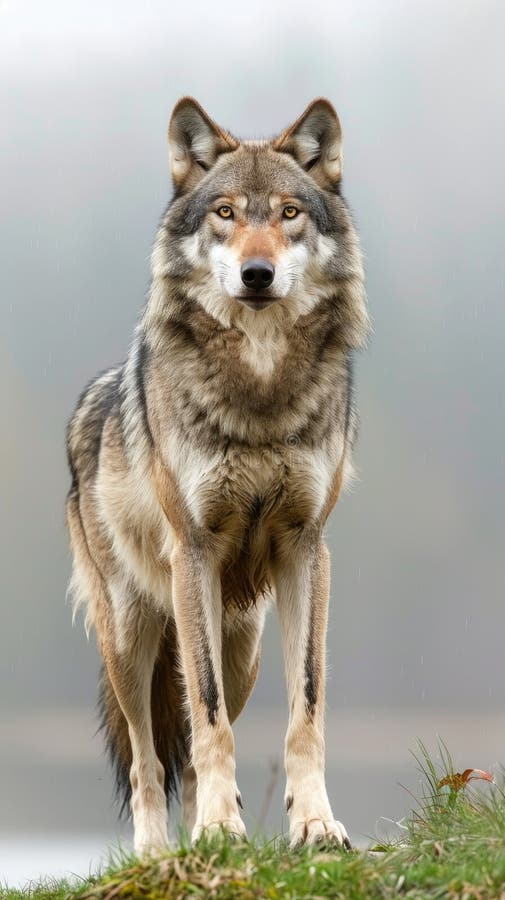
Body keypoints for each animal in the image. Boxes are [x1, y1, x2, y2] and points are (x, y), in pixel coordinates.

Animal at [66, 96, 369, 854]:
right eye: (225, 213)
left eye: (289, 213)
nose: (256, 274)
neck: (258, 390)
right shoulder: (194, 551)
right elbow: (201, 718)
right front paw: (215, 831)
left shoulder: (306, 550)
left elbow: (304, 708)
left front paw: (314, 823)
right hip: (133, 637)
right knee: (148, 759)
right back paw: (156, 849)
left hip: (243, 645)